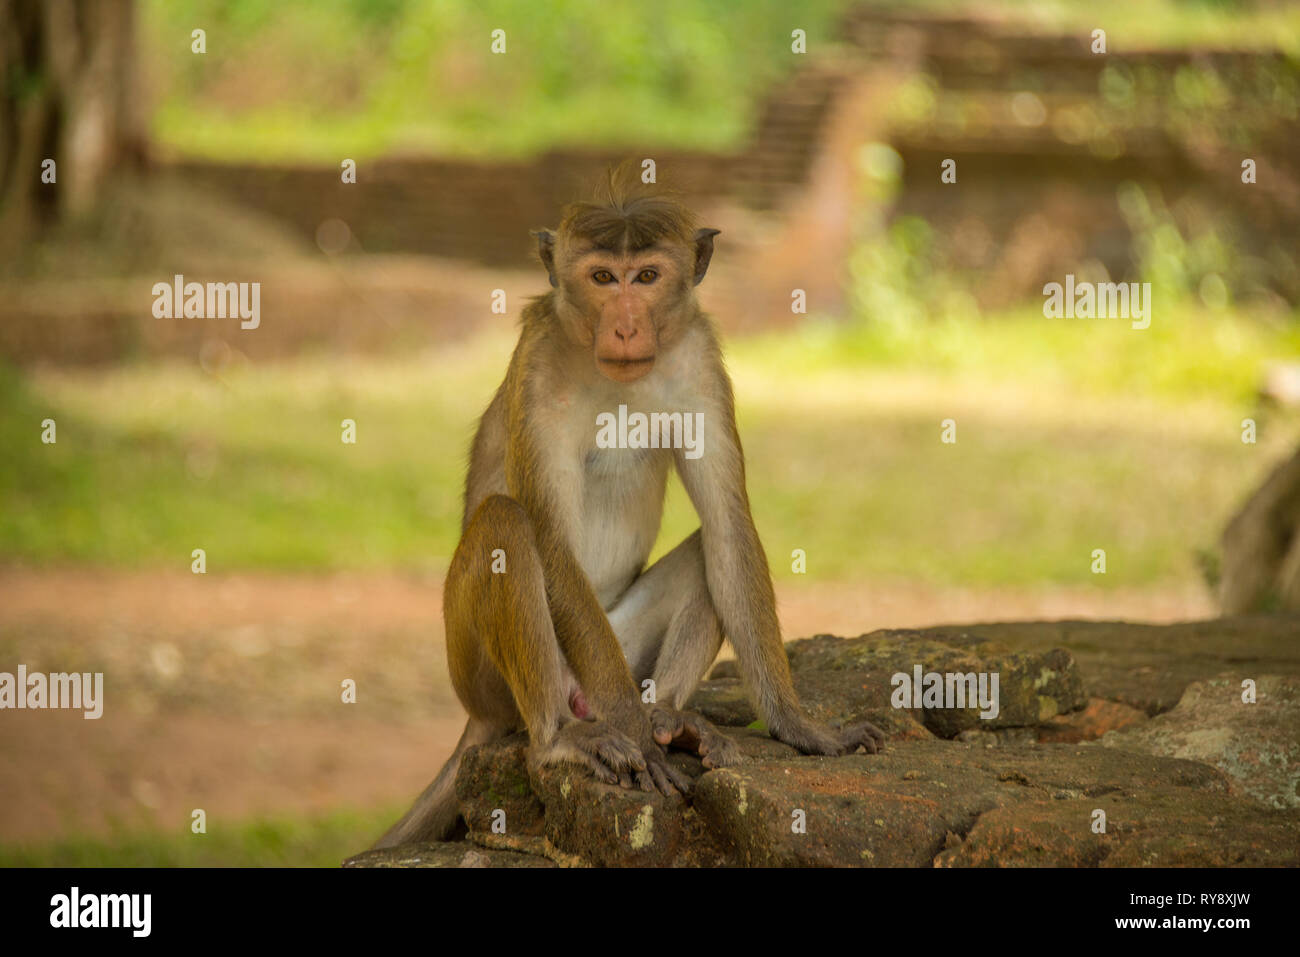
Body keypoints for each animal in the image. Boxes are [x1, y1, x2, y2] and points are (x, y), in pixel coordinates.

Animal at [373, 168, 885, 848]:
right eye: (601, 277)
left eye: (645, 276)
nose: (624, 326)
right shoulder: (537, 364)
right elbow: (551, 543)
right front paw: (639, 742)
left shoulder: (699, 358)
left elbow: (729, 526)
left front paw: (800, 727)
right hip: (487, 679)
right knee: (505, 523)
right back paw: (564, 739)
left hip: (619, 644)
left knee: (707, 549)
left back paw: (668, 718)